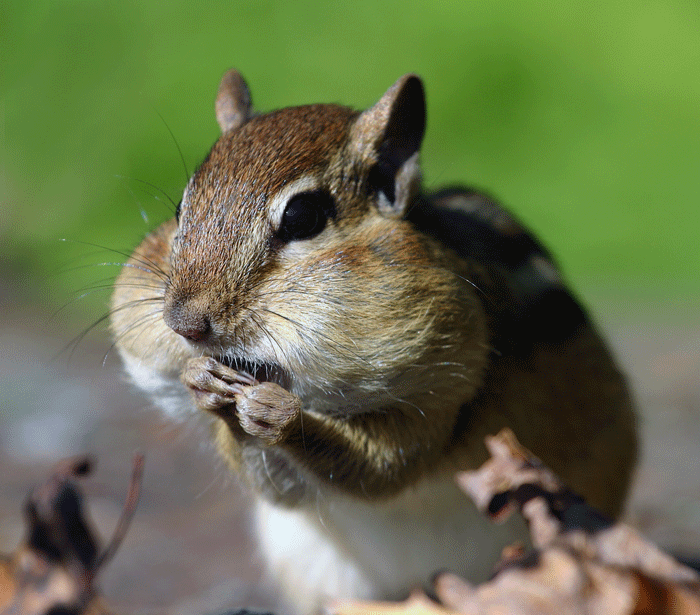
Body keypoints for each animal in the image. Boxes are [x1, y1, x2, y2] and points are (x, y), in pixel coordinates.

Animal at [110, 69, 637, 614]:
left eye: (302, 217)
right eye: (181, 208)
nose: (184, 323)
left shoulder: (442, 393)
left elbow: (383, 469)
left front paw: (279, 414)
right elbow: (283, 489)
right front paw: (202, 383)